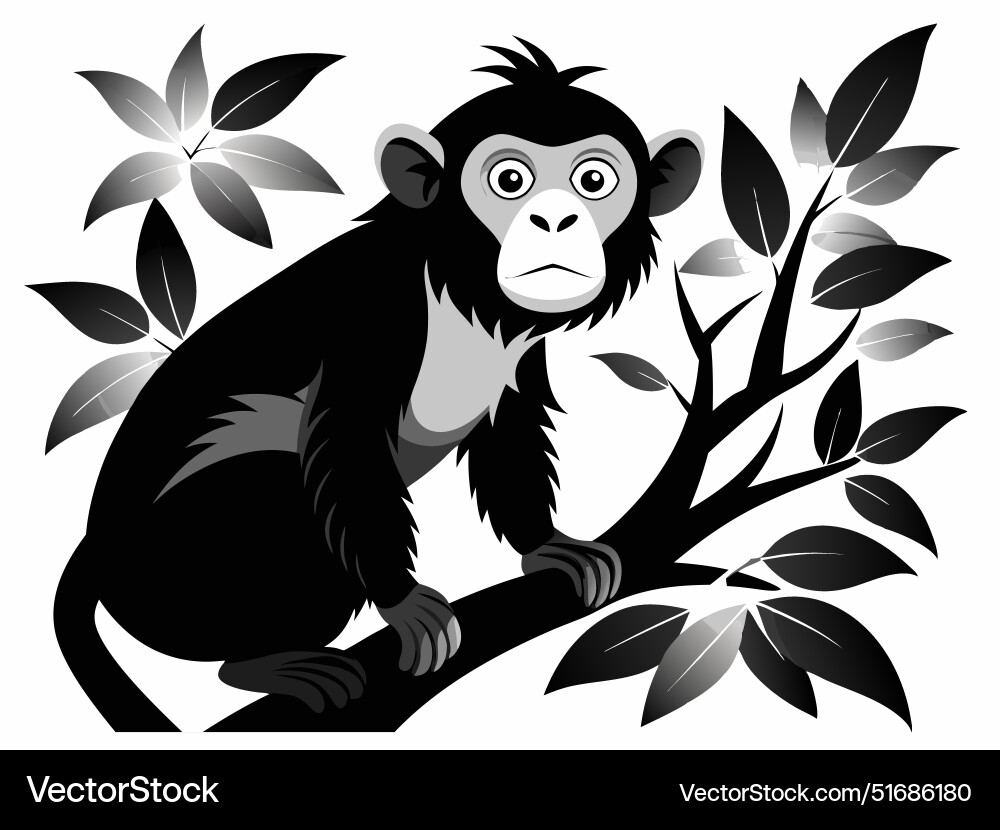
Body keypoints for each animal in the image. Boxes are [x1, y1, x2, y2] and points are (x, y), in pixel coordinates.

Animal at [53, 39, 703, 731]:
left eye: (593, 180)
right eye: (509, 180)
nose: (555, 218)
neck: (458, 291)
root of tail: (100, 551)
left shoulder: (519, 348)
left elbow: (509, 430)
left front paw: (547, 544)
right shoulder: (373, 318)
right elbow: (348, 447)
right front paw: (403, 601)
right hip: (182, 566)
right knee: (274, 483)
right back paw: (266, 663)